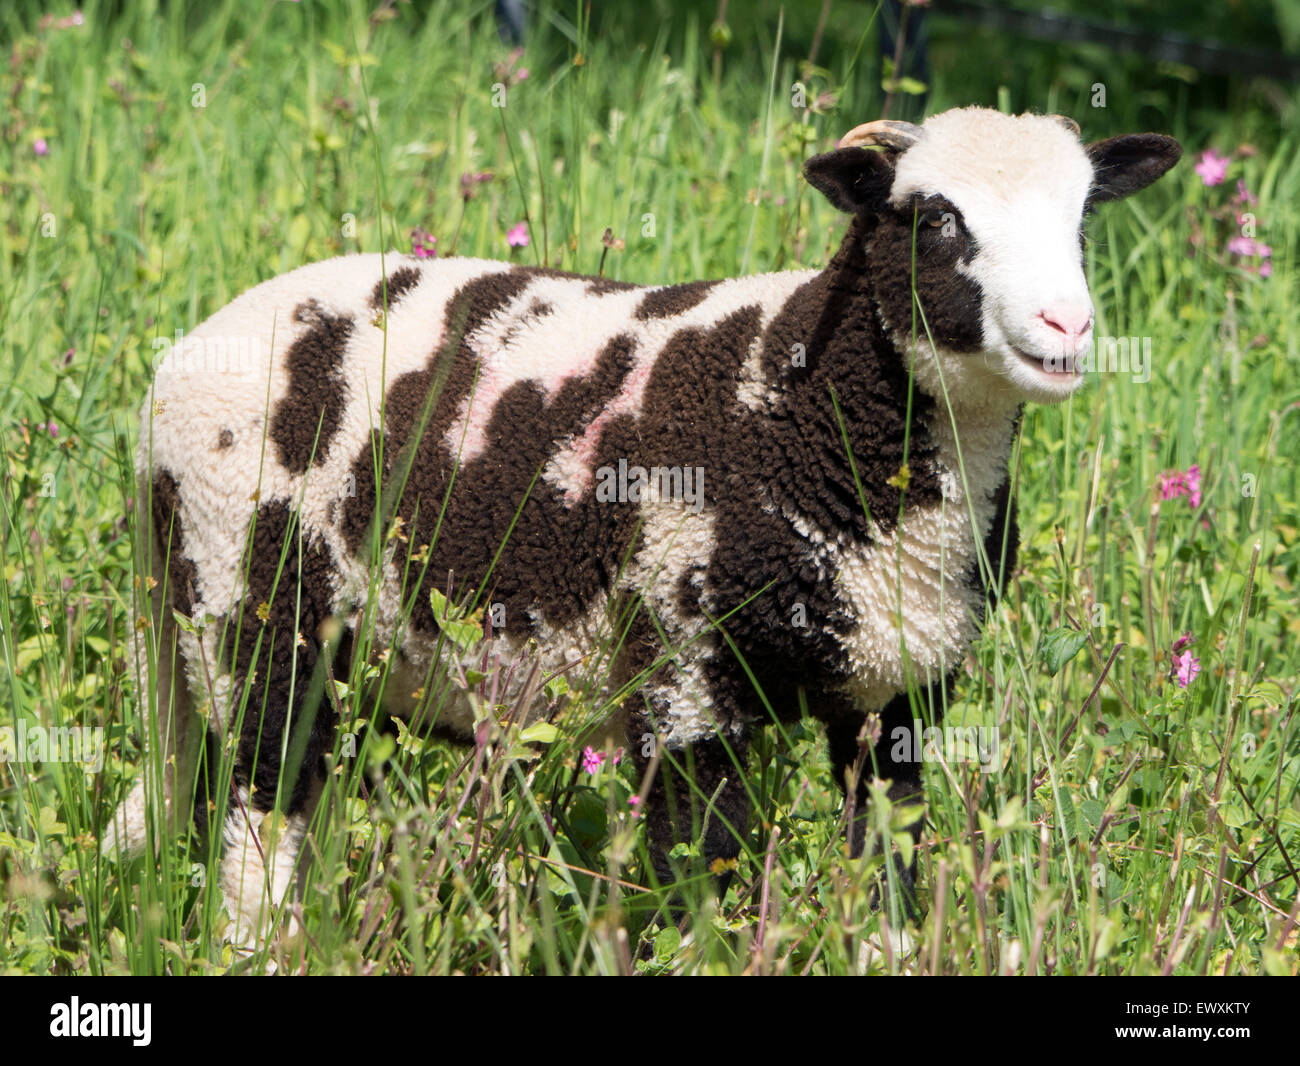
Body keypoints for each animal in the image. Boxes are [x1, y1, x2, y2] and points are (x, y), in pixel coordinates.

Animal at [105, 106, 1181, 949]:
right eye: (936, 218)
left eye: (1083, 218)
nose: (1066, 328)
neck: (799, 399)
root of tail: (171, 374)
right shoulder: (684, 670)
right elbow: (703, 872)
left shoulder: (902, 691)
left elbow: (888, 871)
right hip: (247, 601)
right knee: (259, 811)